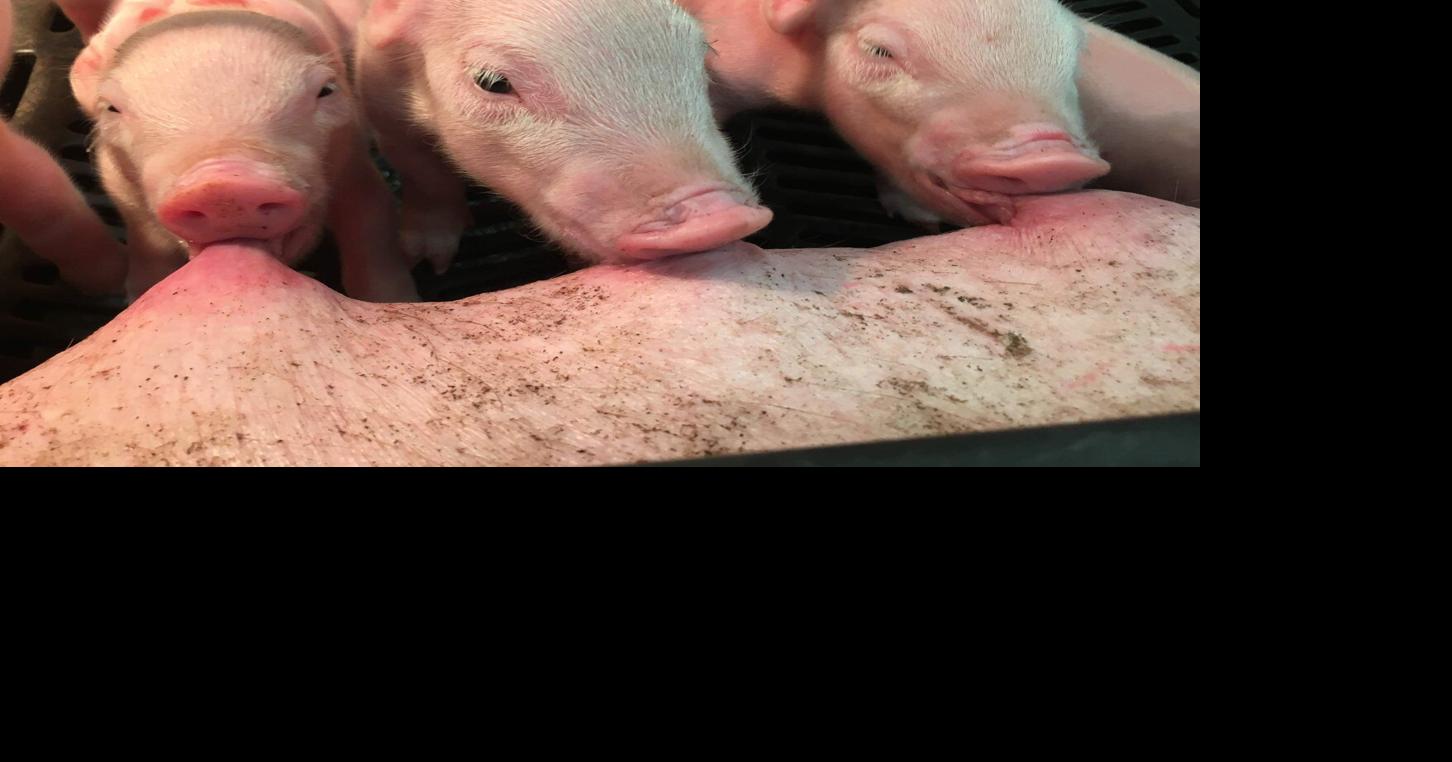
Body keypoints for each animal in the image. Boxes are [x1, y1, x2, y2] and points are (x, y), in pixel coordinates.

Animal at [58, 0, 419, 303]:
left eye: (325, 91)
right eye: (112, 109)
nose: (223, 186)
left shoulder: (351, 162)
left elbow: (370, 221)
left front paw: (397, 301)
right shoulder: (121, 189)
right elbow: (151, 248)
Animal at [354, 0, 774, 274]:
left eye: (703, 51)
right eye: (492, 81)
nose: (718, 215)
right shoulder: (377, 91)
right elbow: (420, 168)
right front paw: (428, 263)